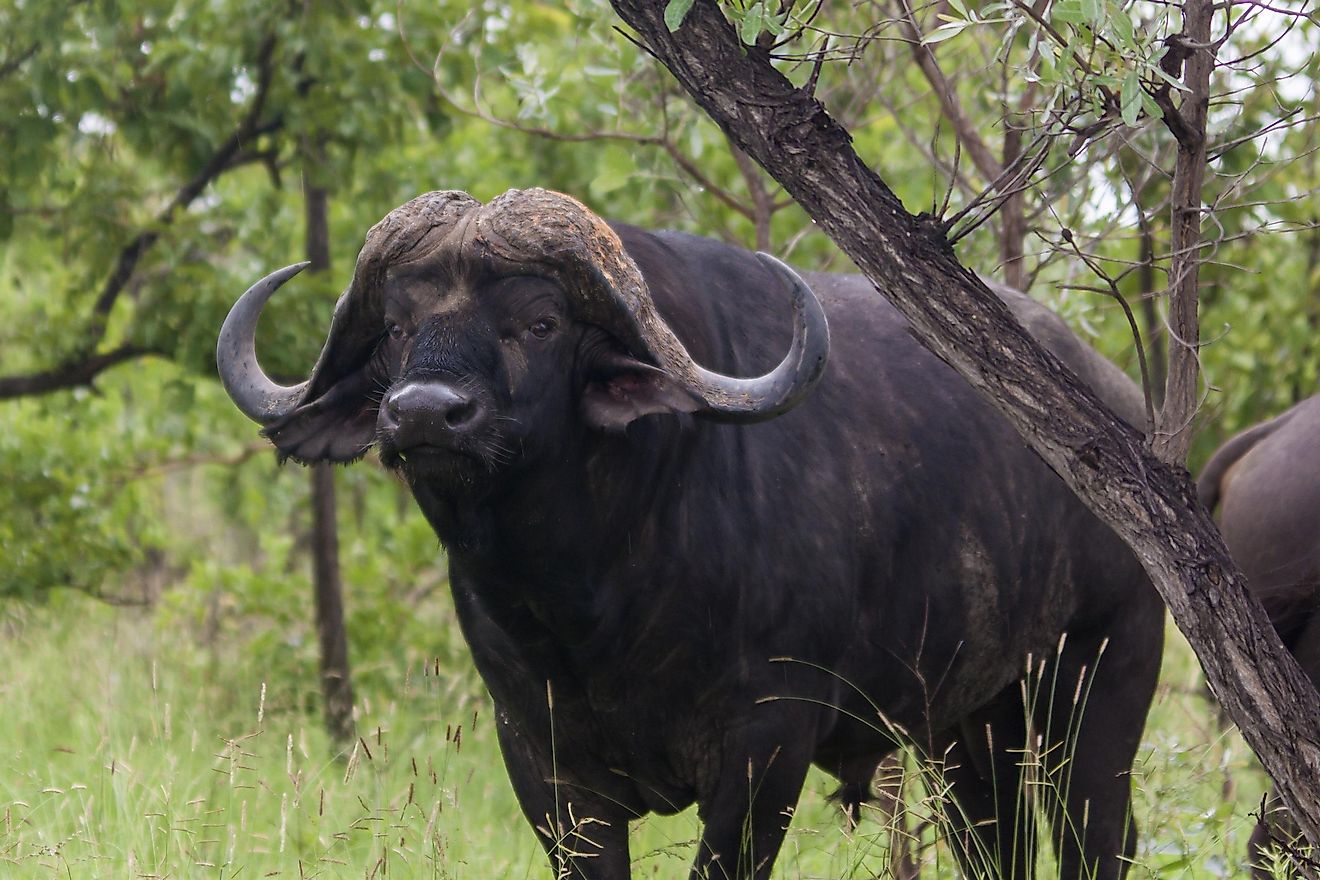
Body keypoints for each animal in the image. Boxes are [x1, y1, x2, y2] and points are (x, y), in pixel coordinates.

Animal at [217, 188, 1162, 880]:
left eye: (540, 322)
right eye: (399, 327)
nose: (421, 414)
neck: (594, 601)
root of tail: (1124, 412)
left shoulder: (764, 753)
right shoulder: (545, 764)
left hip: (1101, 676)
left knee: (1095, 838)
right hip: (971, 724)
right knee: (996, 839)